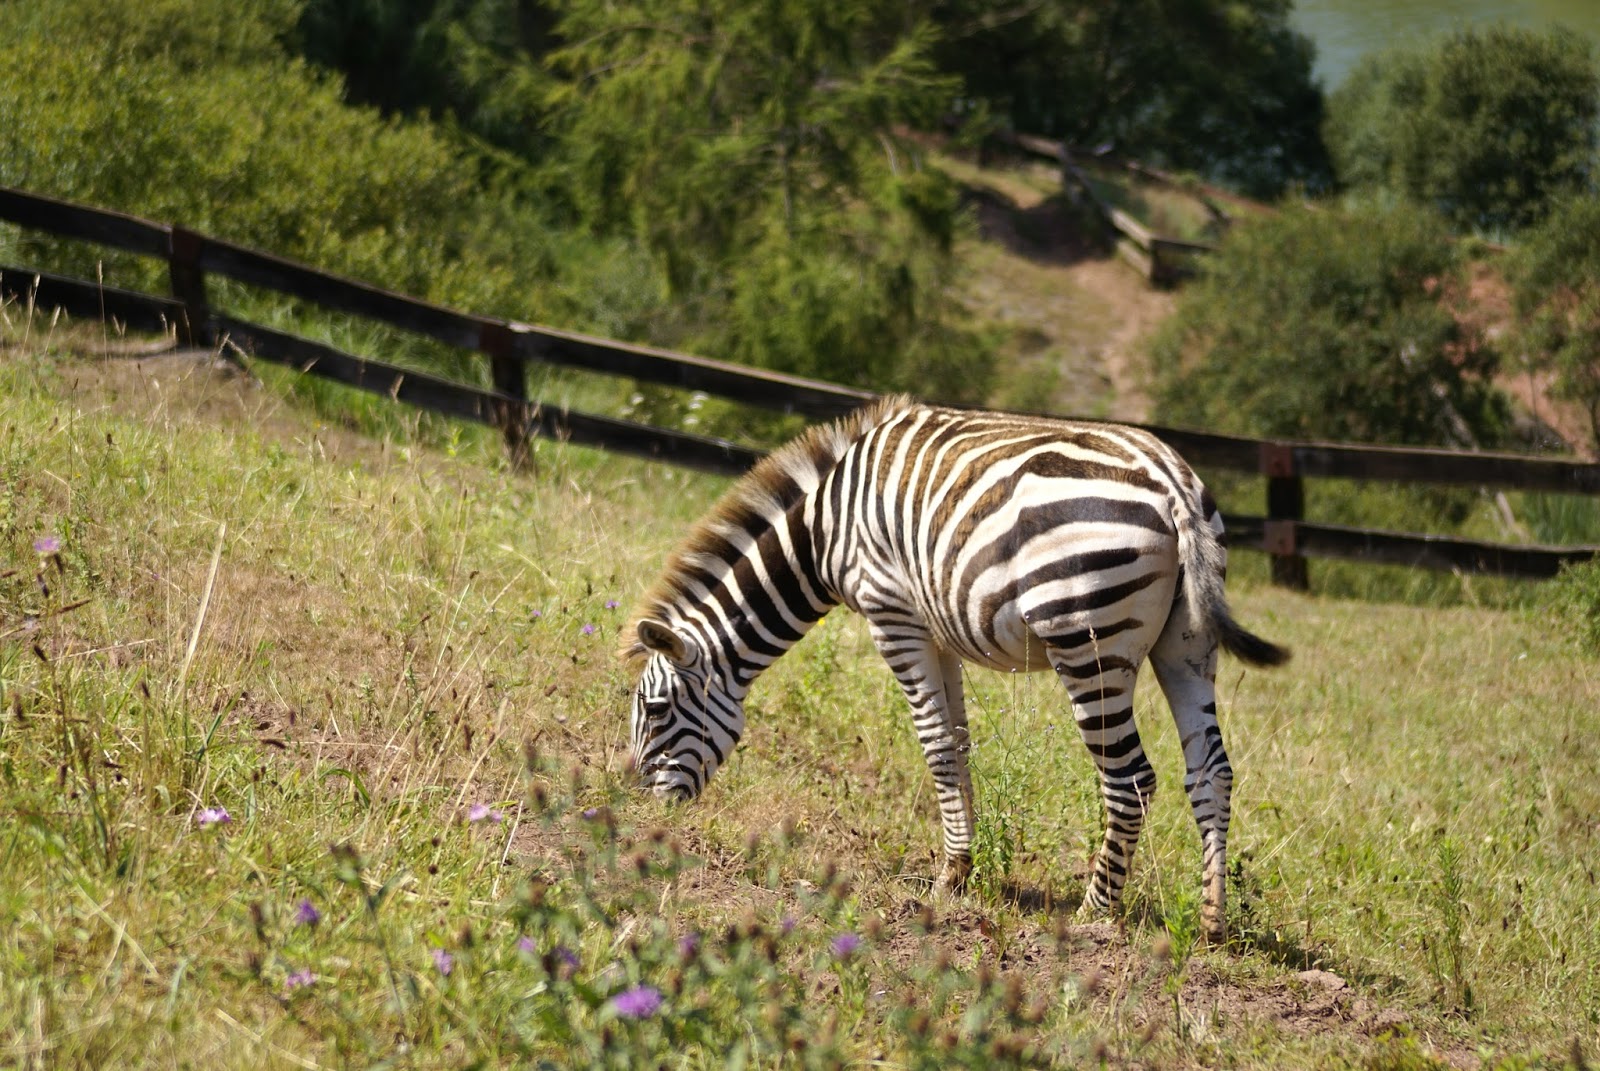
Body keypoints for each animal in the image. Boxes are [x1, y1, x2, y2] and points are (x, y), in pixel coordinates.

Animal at [622, 395, 1288, 943]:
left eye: (655, 711)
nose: (639, 816)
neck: (823, 530)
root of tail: (1172, 479)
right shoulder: (937, 630)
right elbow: (959, 742)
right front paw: (959, 868)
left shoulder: (892, 616)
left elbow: (936, 746)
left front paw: (946, 881)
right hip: (1186, 643)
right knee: (1211, 772)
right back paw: (1212, 923)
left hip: (1086, 641)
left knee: (1131, 780)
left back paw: (1095, 915)